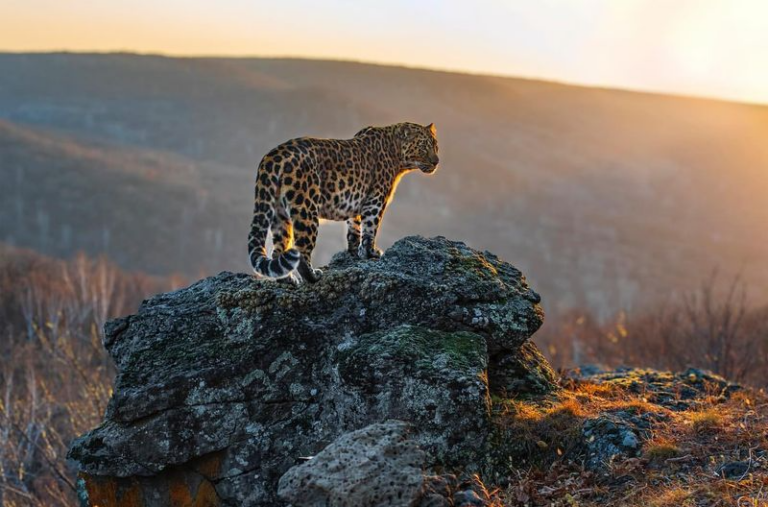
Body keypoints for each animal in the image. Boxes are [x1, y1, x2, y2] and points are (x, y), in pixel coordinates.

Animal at [247, 122, 440, 283]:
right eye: (423, 147)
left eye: (435, 146)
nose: (436, 161)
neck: (396, 153)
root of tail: (272, 157)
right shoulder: (376, 199)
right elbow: (371, 228)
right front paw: (371, 253)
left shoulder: (357, 202)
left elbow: (354, 229)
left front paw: (354, 252)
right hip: (306, 208)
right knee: (301, 250)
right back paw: (312, 276)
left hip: (279, 213)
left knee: (278, 250)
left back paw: (287, 279)